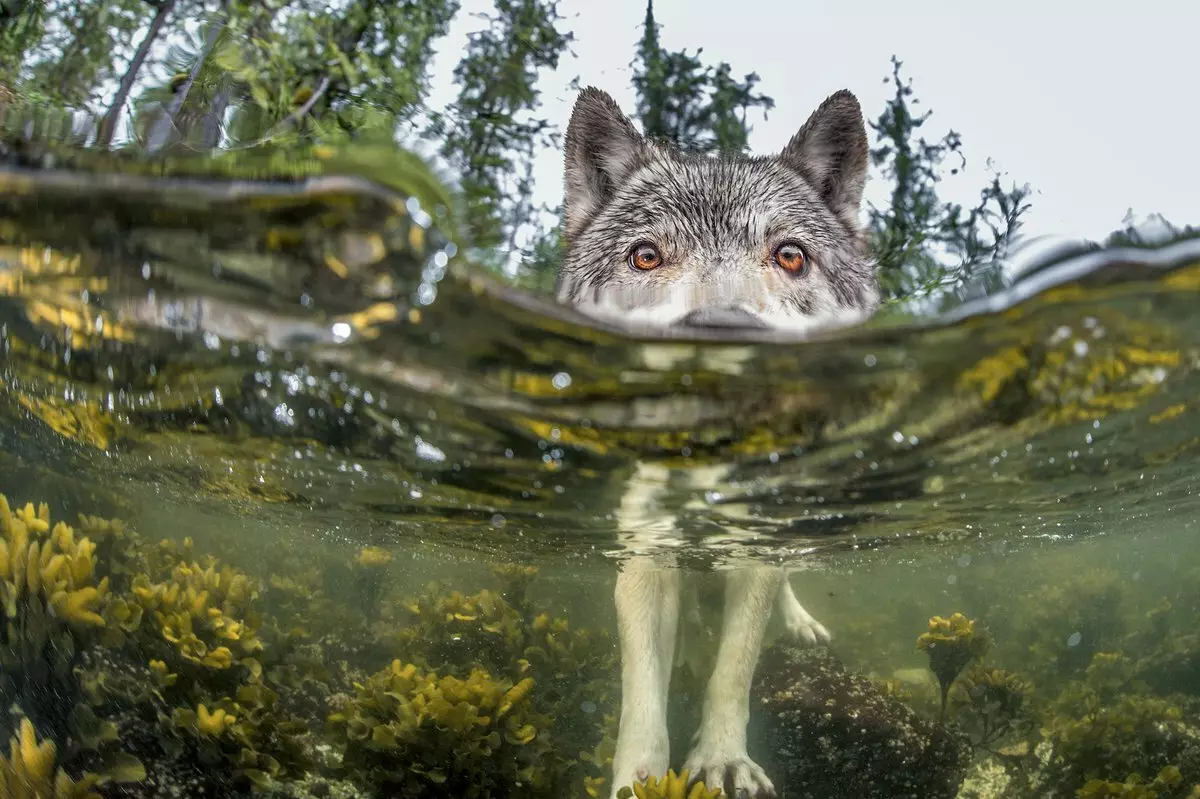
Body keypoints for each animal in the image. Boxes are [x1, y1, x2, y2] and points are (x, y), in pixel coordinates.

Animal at [554, 88, 883, 796]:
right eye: (646, 256)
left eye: (790, 255)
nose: (722, 332)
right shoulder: (645, 553)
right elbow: (642, 692)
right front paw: (638, 780)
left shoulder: (753, 548)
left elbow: (734, 668)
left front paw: (723, 761)